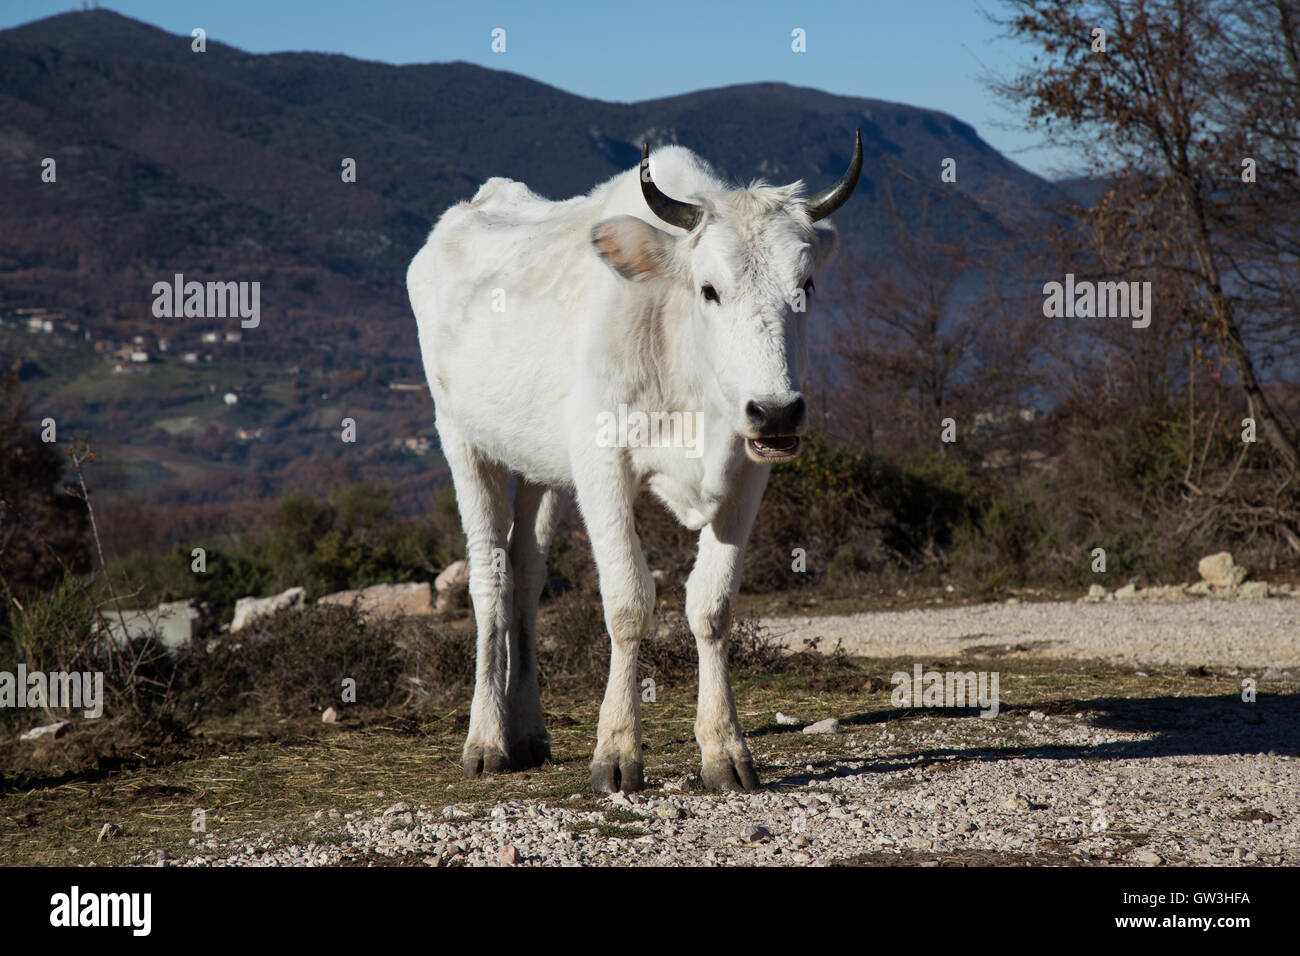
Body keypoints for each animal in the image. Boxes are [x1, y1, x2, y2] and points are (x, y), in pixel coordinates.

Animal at [406, 133, 861, 792]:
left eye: (807, 286)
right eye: (708, 288)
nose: (776, 410)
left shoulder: (750, 472)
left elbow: (712, 605)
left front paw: (724, 748)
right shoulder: (601, 463)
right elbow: (627, 602)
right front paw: (617, 750)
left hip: (541, 464)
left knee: (526, 573)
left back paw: (529, 733)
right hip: (463, 439)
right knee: (490, 578)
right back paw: (488, 739)